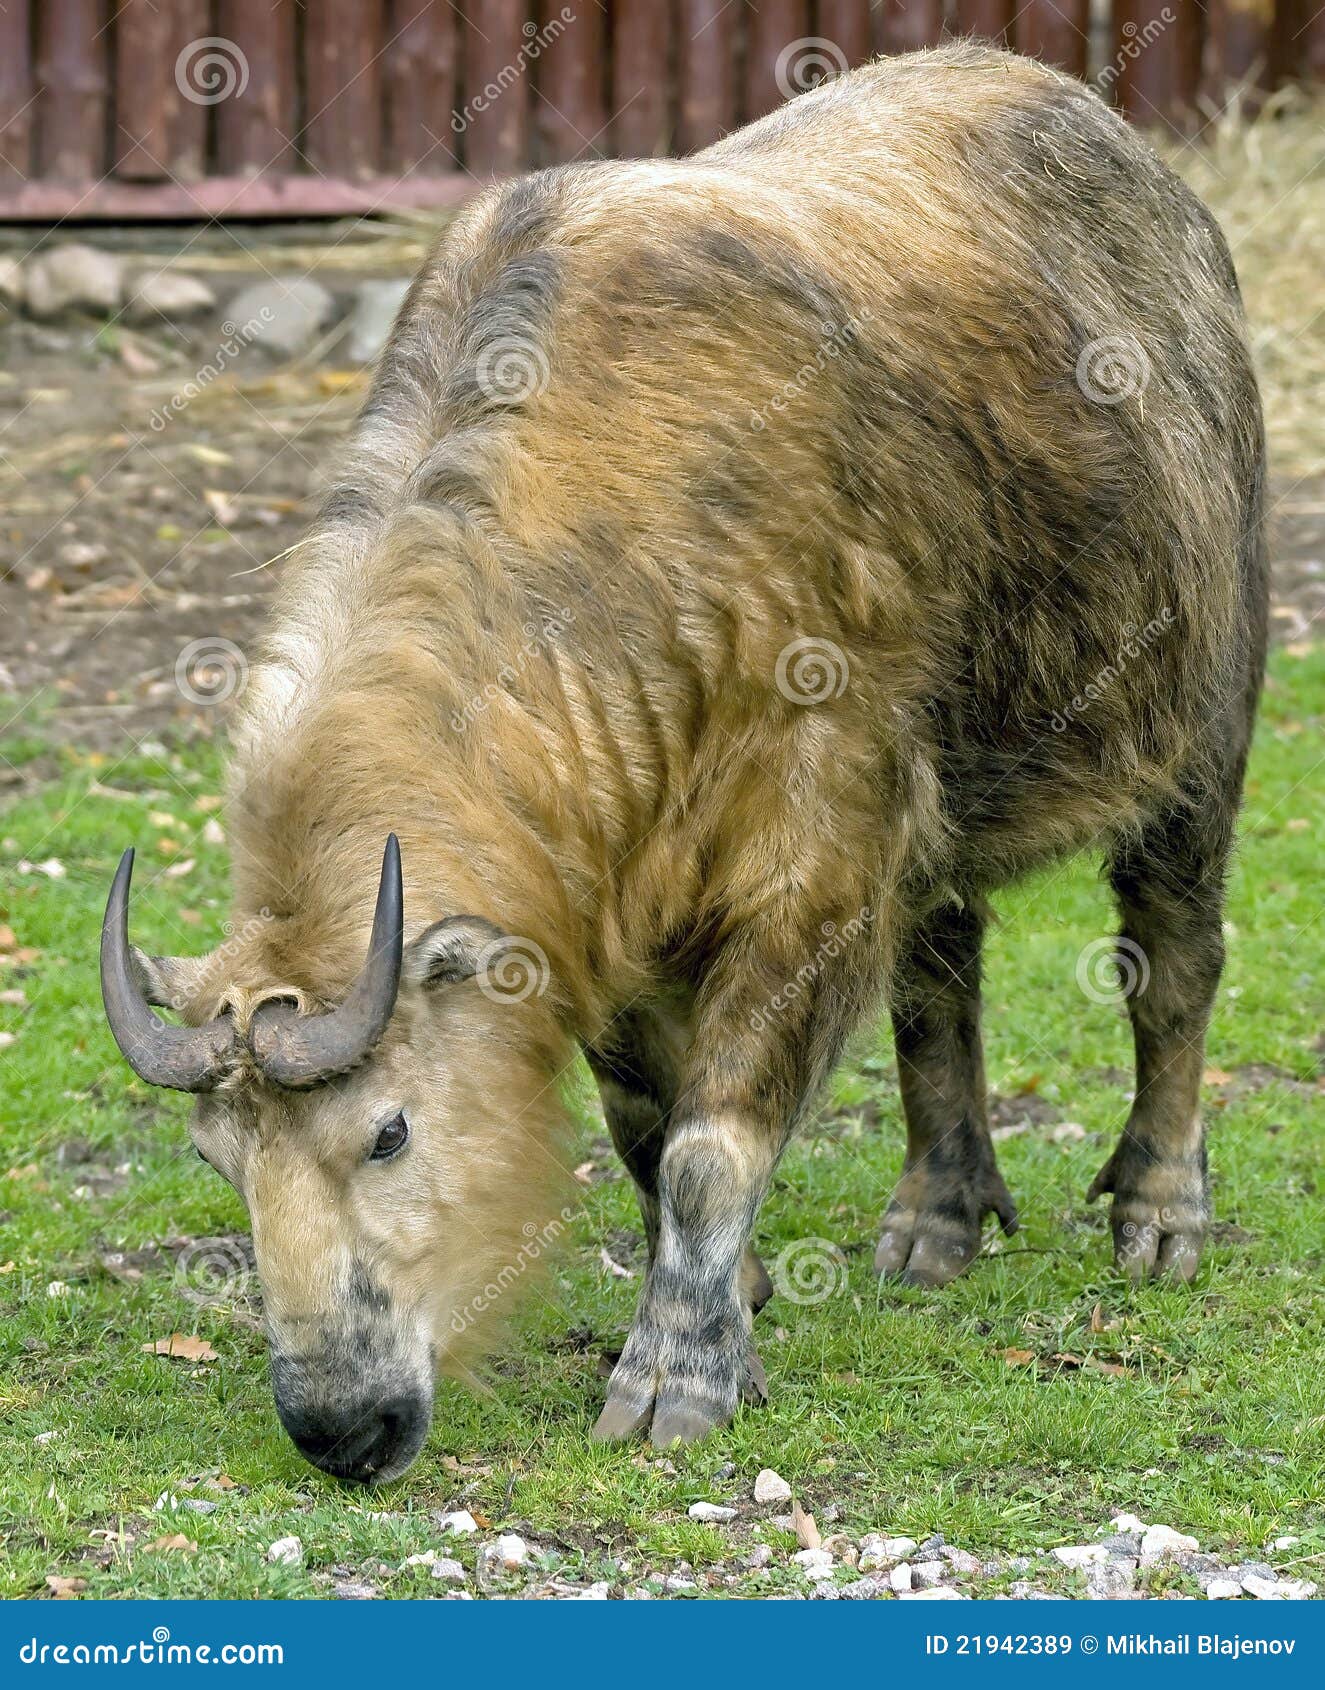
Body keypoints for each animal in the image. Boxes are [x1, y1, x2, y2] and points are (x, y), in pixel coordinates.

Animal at [102, 43, 1266, 1483]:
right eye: (221, 1159)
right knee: (939, 984)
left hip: (1200, 737)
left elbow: (711, 1143)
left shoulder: (812, 865)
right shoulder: (605, 903)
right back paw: (936, 1216)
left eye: (388, 1130)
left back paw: (1159, 1209)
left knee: (1172, 965)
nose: (340, 1428)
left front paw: (679, 1374)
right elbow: (647, 1130)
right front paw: (736, 1302)